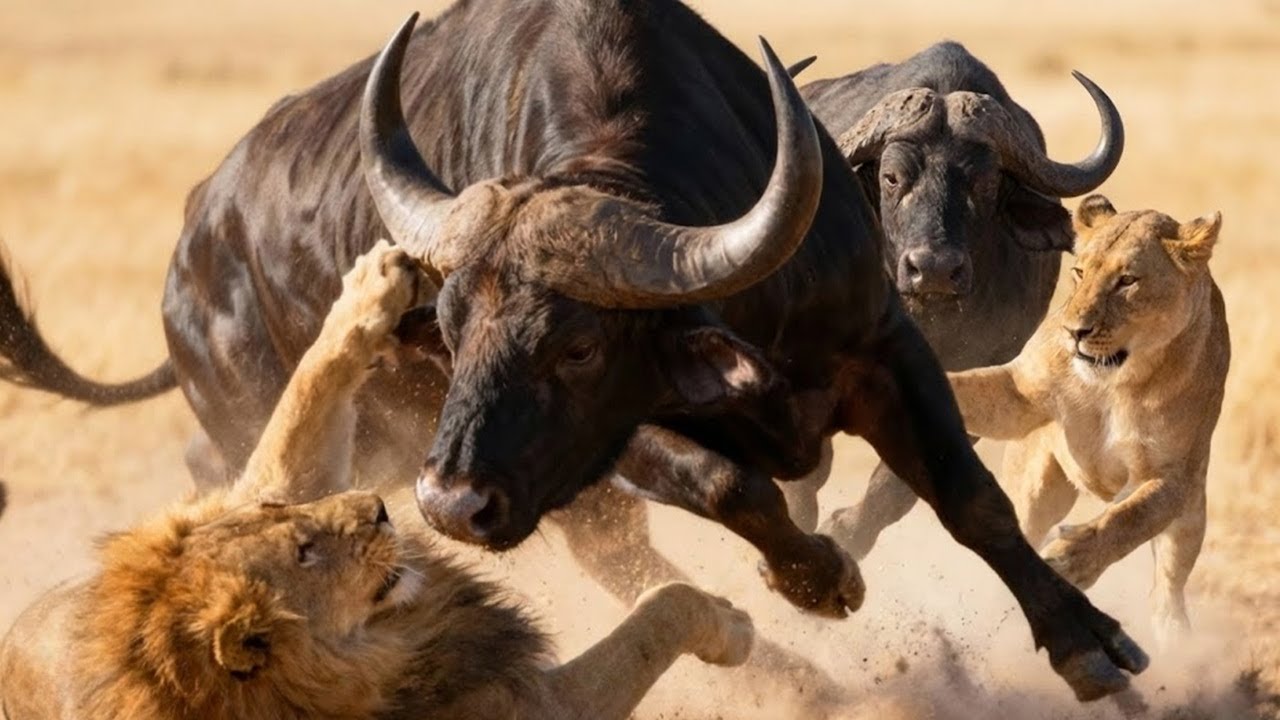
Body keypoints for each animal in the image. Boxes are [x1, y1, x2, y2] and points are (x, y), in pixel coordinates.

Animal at [0, 242, 754, 720]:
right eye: (304, 554)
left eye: (276, 511)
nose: (381, 509)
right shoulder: (536, 705)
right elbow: (659, 614)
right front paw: (733, 626)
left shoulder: (264, 484)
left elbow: (306, 397)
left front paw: (375, 285)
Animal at [946, 194, 1229, 647]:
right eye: (1079, 272)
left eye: (1127, 281)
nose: (1074, 331)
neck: (1116, 381)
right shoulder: (1019, 394)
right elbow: (961, 385)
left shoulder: (1173, 476)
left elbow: (1131, 516)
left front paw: (1071, 560)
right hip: (1036, 486)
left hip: (1192, 516)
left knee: (1169, 583)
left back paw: (1174, 637)